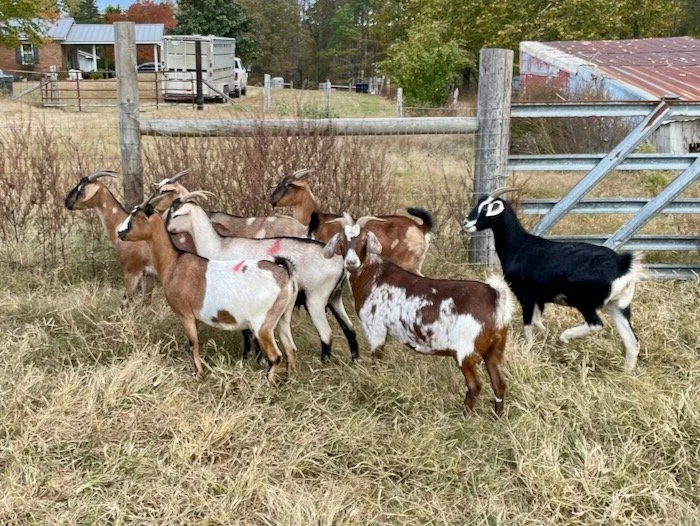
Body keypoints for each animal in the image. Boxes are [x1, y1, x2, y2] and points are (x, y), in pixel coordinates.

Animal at [64, 170, 156, 301]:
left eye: (82, 188)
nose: (66, 202)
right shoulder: (148, 274)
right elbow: (146, 300)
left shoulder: (132, 270)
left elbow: (127, 300)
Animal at [116, 194, 299, 381]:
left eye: (135, 218)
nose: (120, 233)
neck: (174, 263)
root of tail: (285, 274)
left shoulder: (185, 313)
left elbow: (193, 343)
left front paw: (199, 373)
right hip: (283, 317)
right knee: (290, 349)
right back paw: (289, 380)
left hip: (263, 323)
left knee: (276, 356)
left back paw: (268, 382)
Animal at [165, 192, 359, 363]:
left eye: (175, 214)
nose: (167, 230)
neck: (219, 246)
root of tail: (339, 262)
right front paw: (257, 358)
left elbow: (247, 331)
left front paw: (250, 358)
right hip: (334, 298)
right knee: (350, 329)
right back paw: (354, 362)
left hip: (316, 299)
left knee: (326, 335)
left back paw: (322, 365)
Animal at [322, 214, 514, 416]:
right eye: (341, 241)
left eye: (364, 240)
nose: (351, 263)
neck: (373, 276)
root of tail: (494, 295)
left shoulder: (376, 329)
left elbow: (376, 363)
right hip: (496, 348)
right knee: (499, 384)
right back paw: (498, 417)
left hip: (466, 351)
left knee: (475, 385)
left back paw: (465, 418)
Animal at [463, 188, 644, 371]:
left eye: (486, 209)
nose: (466, 223)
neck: (519, 246)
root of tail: (622, 265)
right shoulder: (539, 298)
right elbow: (537, 320)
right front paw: (545, 336)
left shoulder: (525, 296)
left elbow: (527, 325)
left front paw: (529, 348)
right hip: (617, 306)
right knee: (632, 341)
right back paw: (626, 371)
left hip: (584, 302)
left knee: (596, 325)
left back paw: (564, 337)